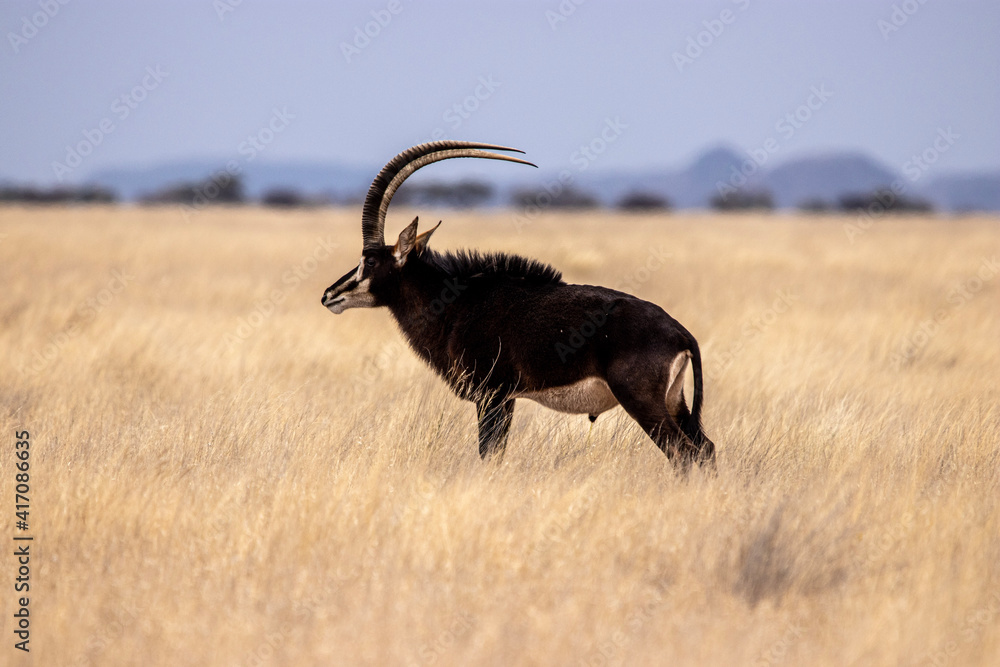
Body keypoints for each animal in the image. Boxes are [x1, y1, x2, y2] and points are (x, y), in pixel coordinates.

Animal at [322, 141, 714, 468]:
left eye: (370, 260)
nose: (329, 295)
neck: (456, 302)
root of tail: (681, 334)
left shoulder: (492, 395)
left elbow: (489, 454)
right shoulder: (503, 398)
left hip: (643, 401)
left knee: (683, 453)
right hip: (675, 402)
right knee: (705, 449)